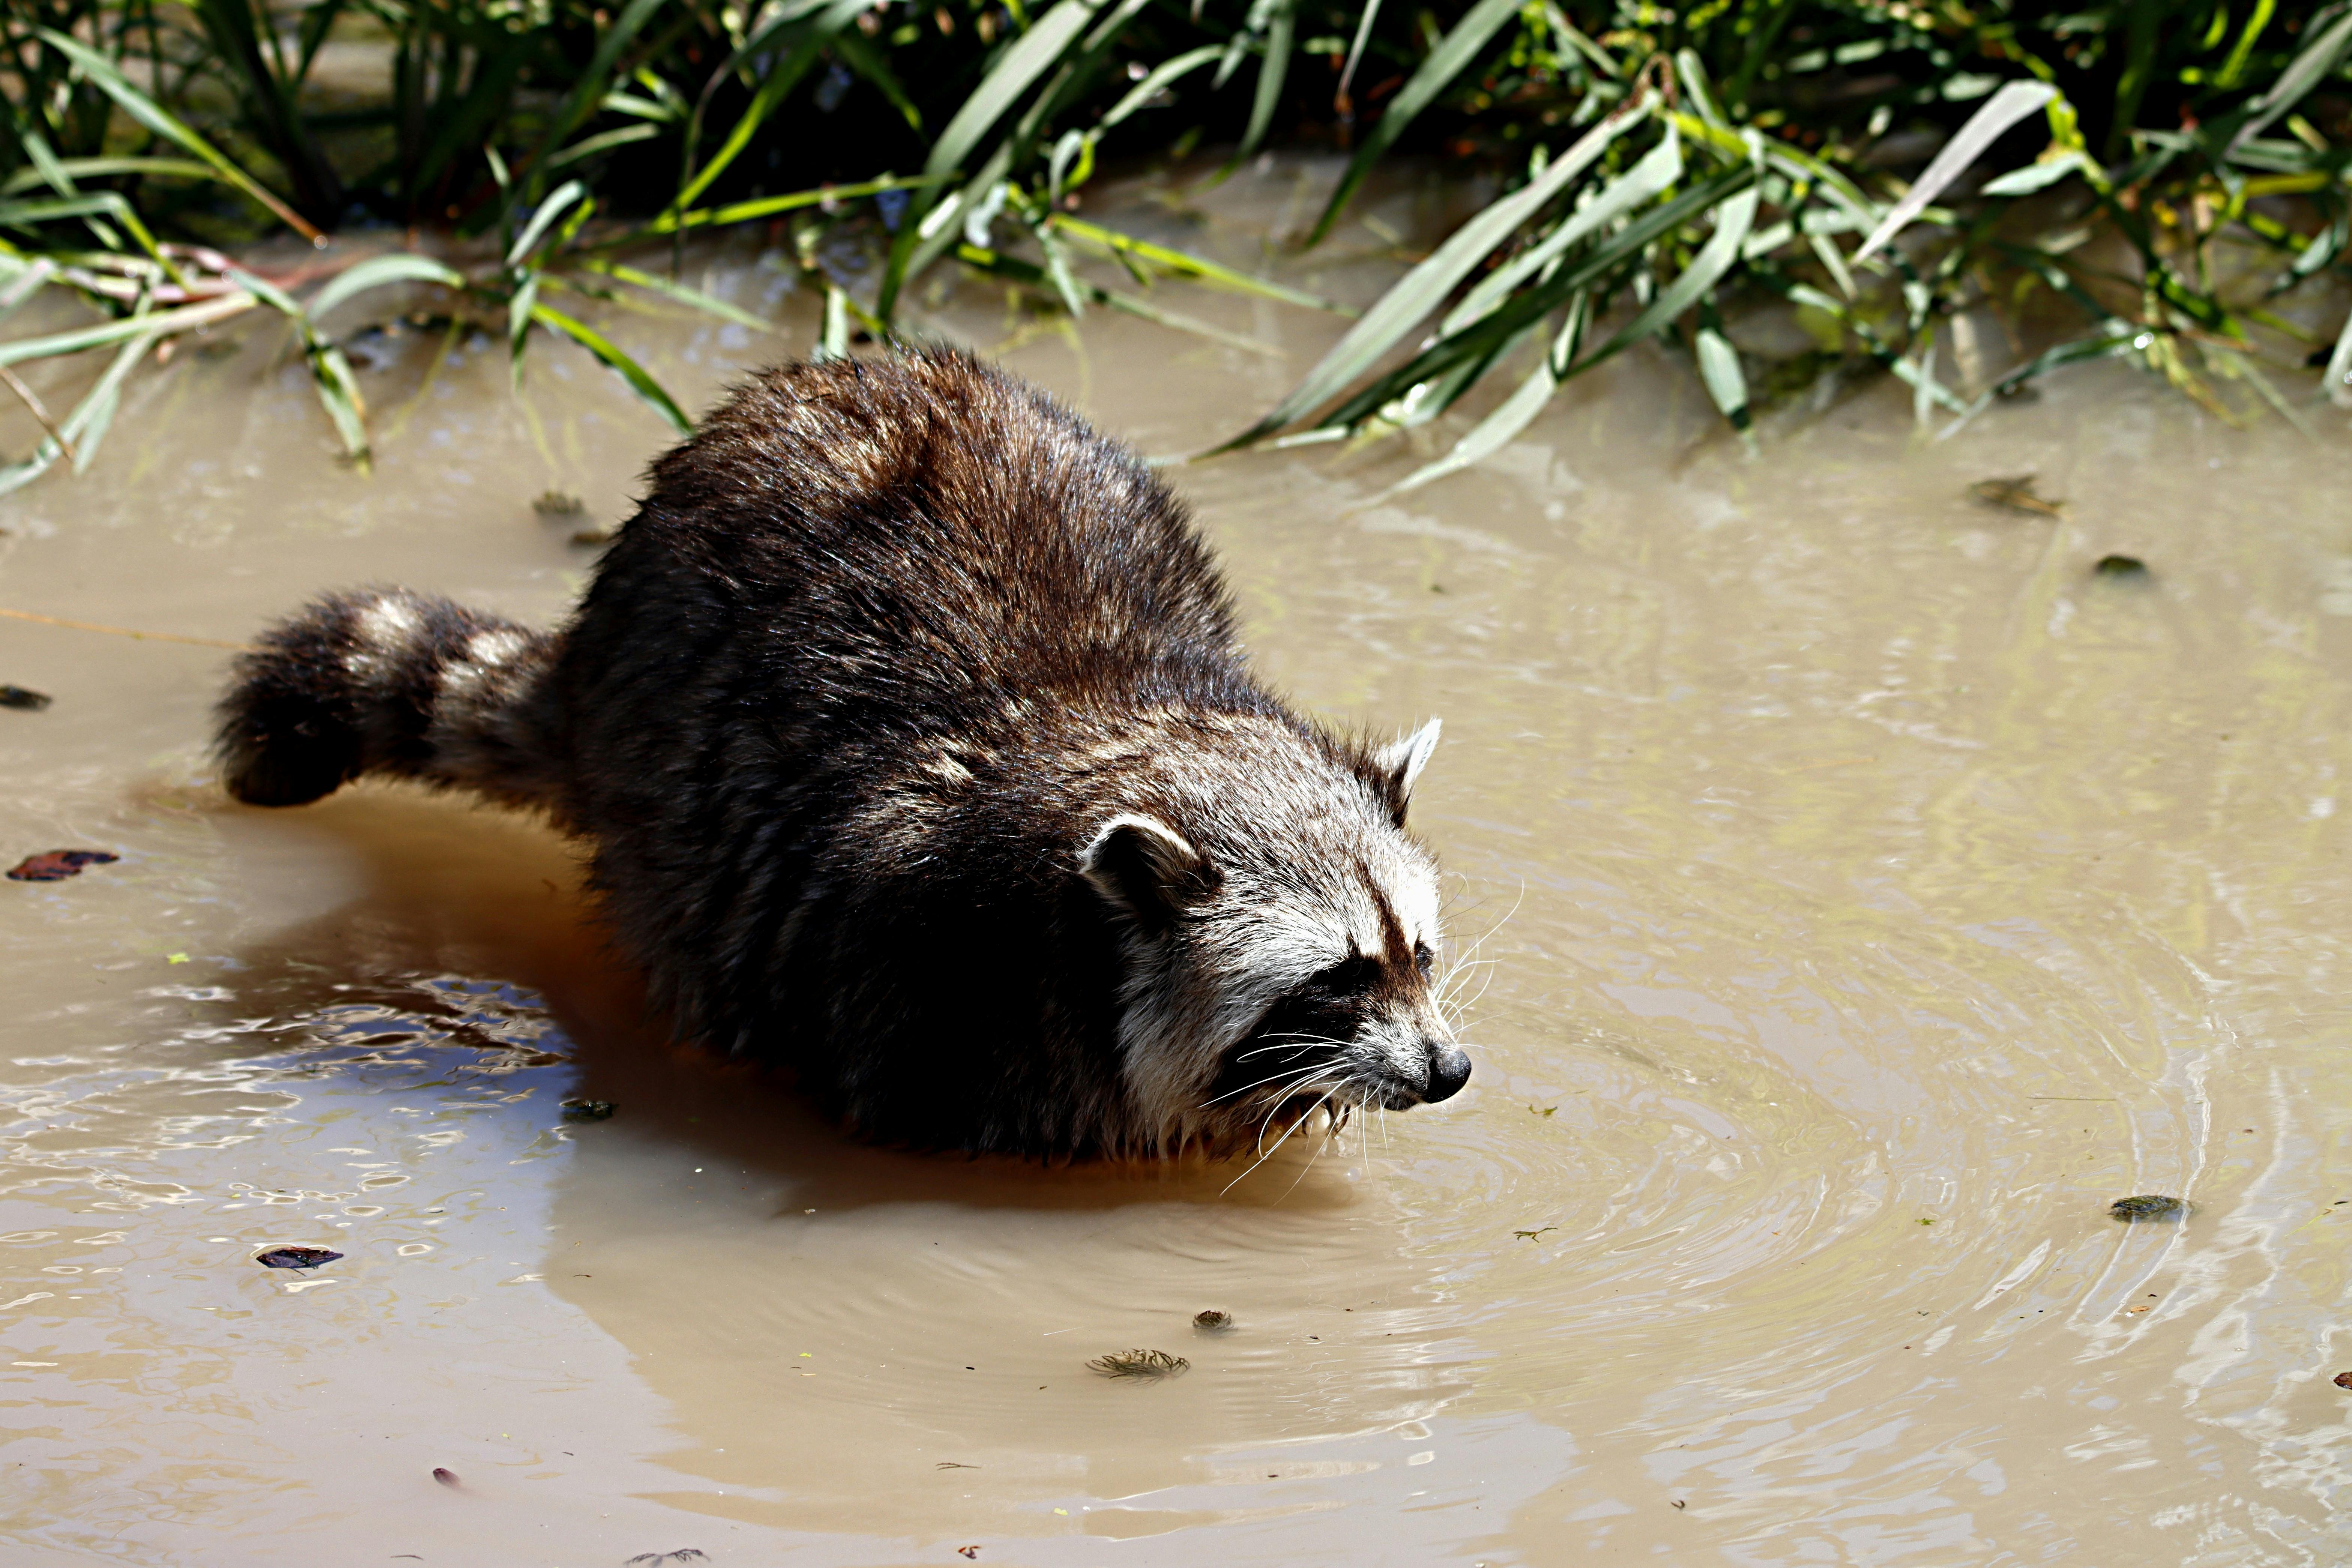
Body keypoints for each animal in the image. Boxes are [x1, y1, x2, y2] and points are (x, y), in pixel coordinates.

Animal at [218, 350, 1470, 1159]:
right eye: (1335, 975)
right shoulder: (915, 966)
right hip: (658, 776)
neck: (1110, 718)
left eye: (1415, 954)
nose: (1448, 1072)